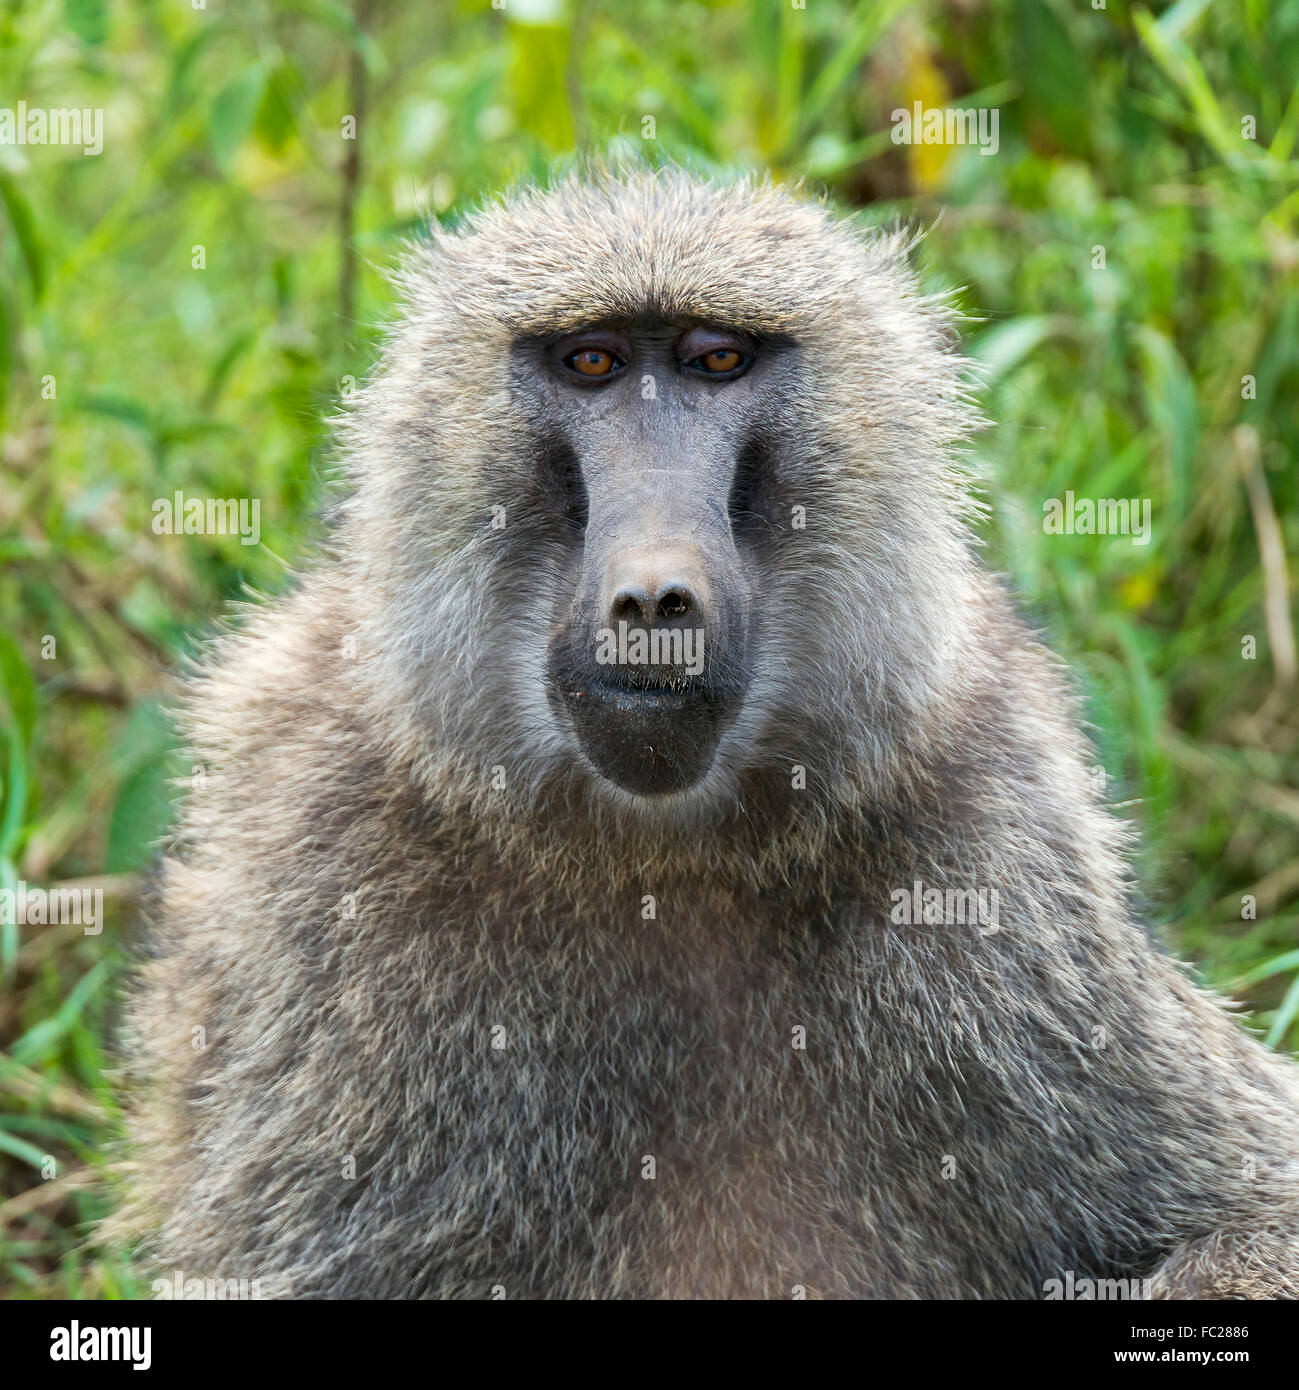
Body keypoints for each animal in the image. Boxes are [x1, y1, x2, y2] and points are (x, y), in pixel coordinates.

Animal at [116, 168, 1299, 1300]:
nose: (654, 598)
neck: (659, 855)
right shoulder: (315, 848)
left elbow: (1252, 1212)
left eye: (717, 361)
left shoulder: (1004, 849)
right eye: (591, 363)